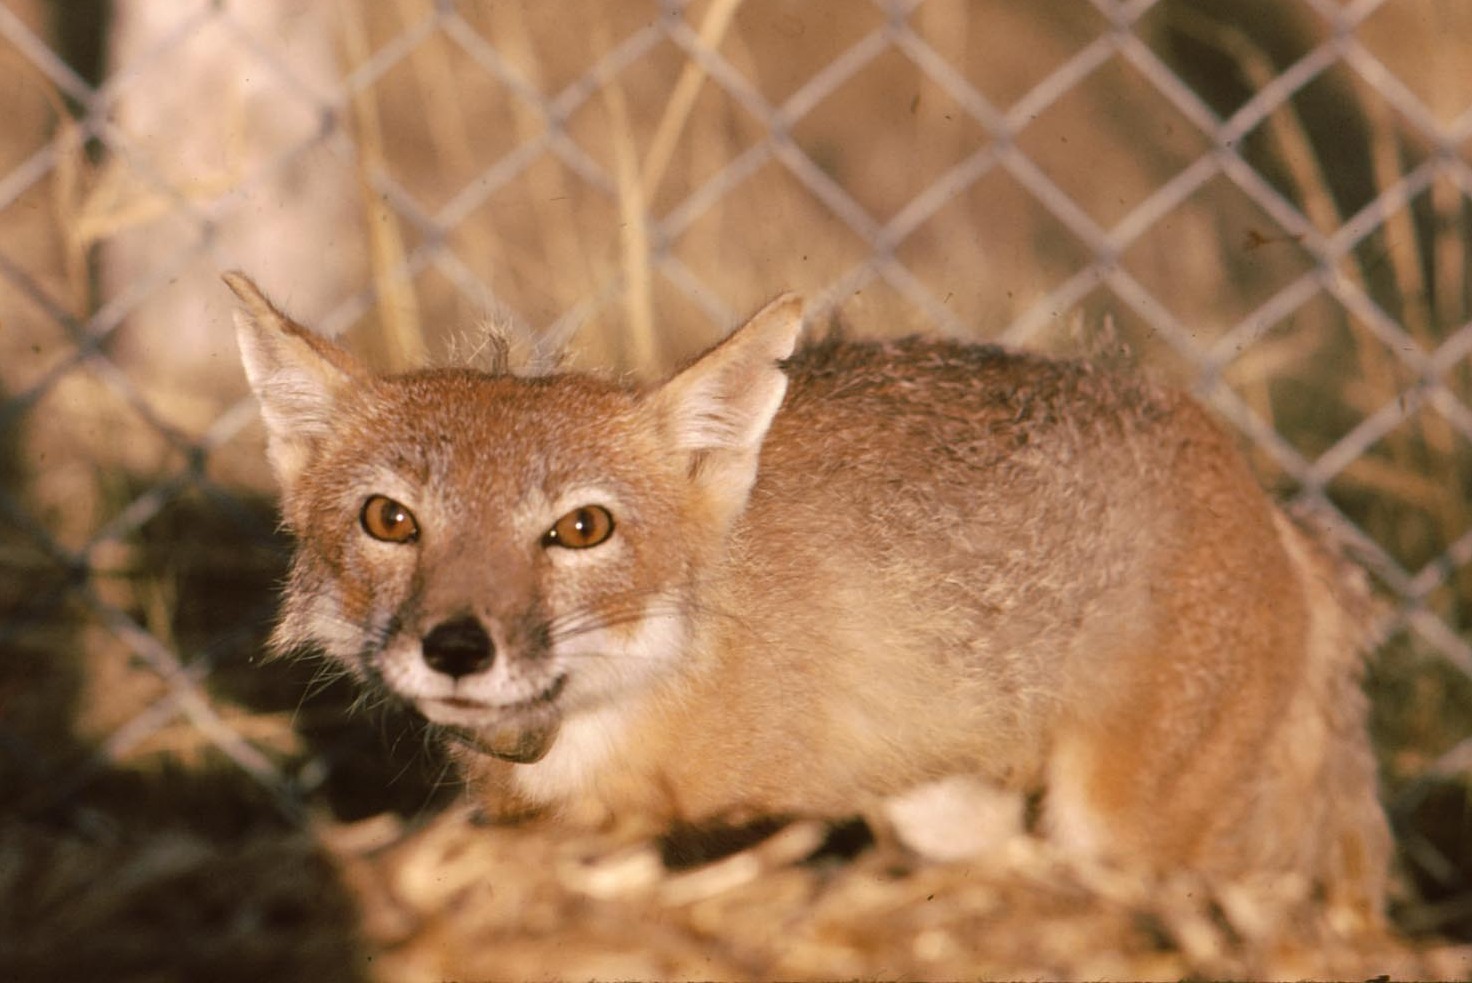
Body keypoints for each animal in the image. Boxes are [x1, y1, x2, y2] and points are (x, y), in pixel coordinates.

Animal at [227, 271, 1390, 920]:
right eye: (390, 521)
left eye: (580, 529)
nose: (458, 647)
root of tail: (1268, 497)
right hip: (944, 810)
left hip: (1123, 831)